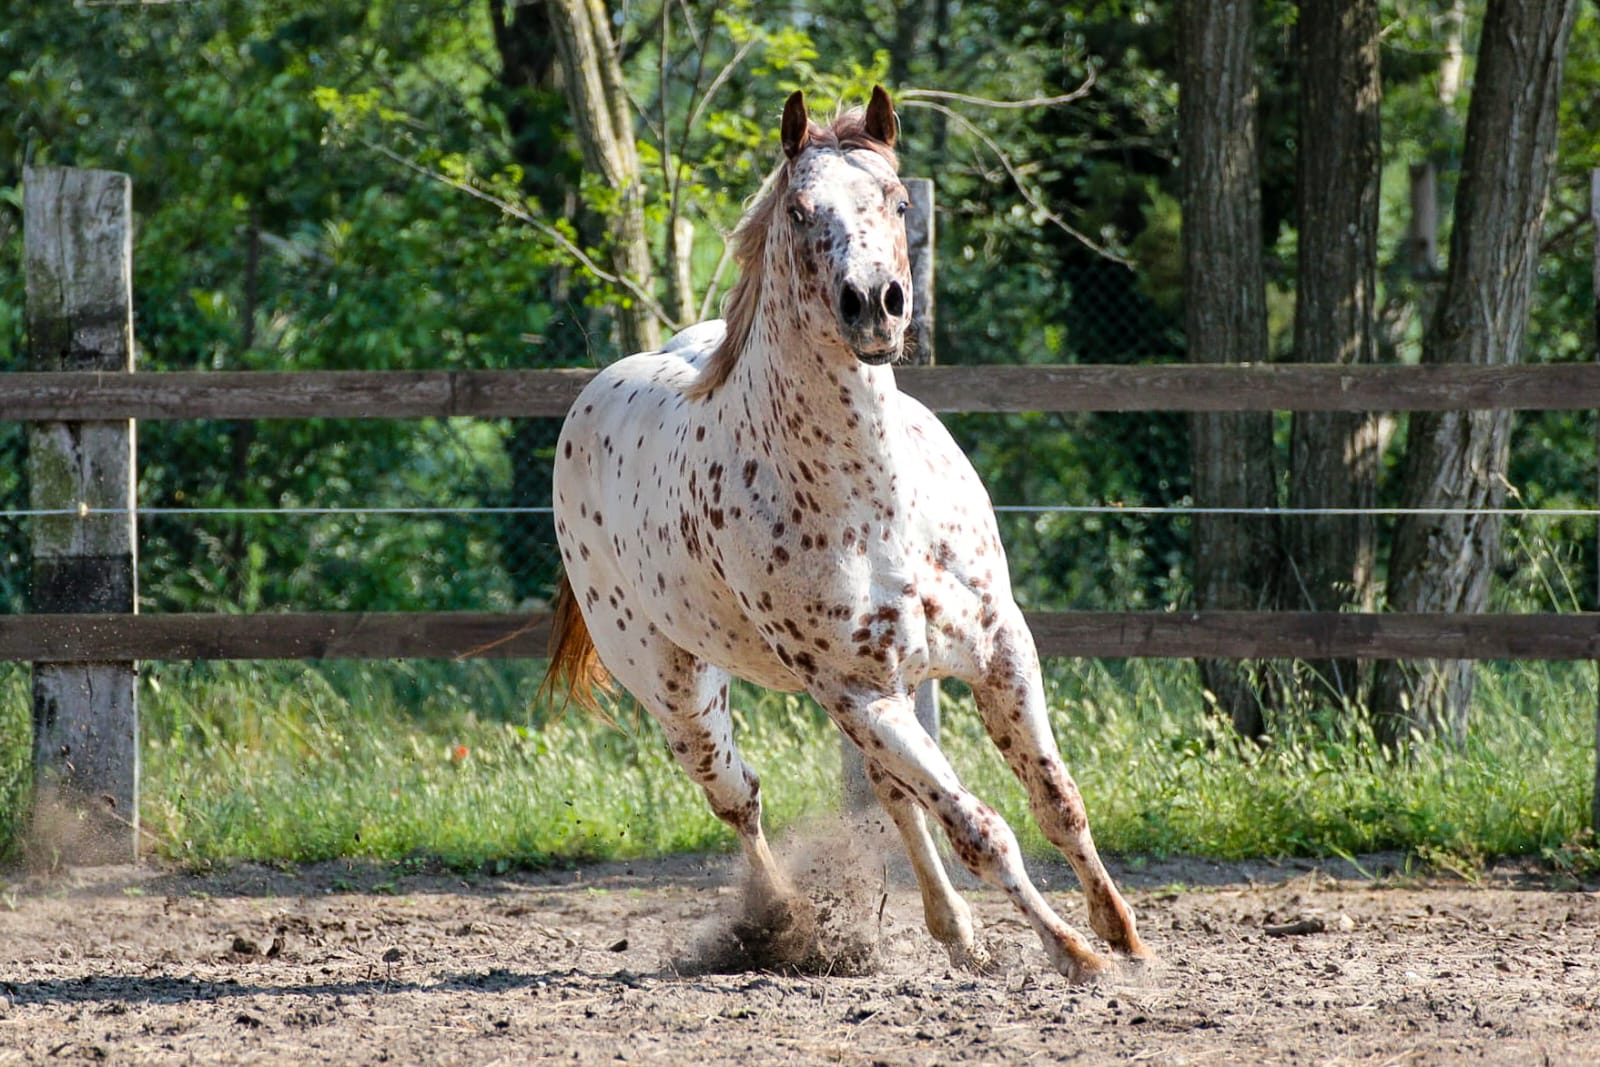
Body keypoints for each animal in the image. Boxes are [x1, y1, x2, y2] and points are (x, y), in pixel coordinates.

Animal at [545, 86, 1149, 983]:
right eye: (800, 210)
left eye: (897, 201)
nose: (875, 303)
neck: (877, 505)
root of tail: (594, 396)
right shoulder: (863, 690)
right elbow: (982, 829)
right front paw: (1074, 952)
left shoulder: (999, 649)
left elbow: (1056, 800)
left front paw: (1121, 932)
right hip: (687, 694)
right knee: (741, 798)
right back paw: (787, 921)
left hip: (857, 701)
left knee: (889, 793)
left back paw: (955, 931)